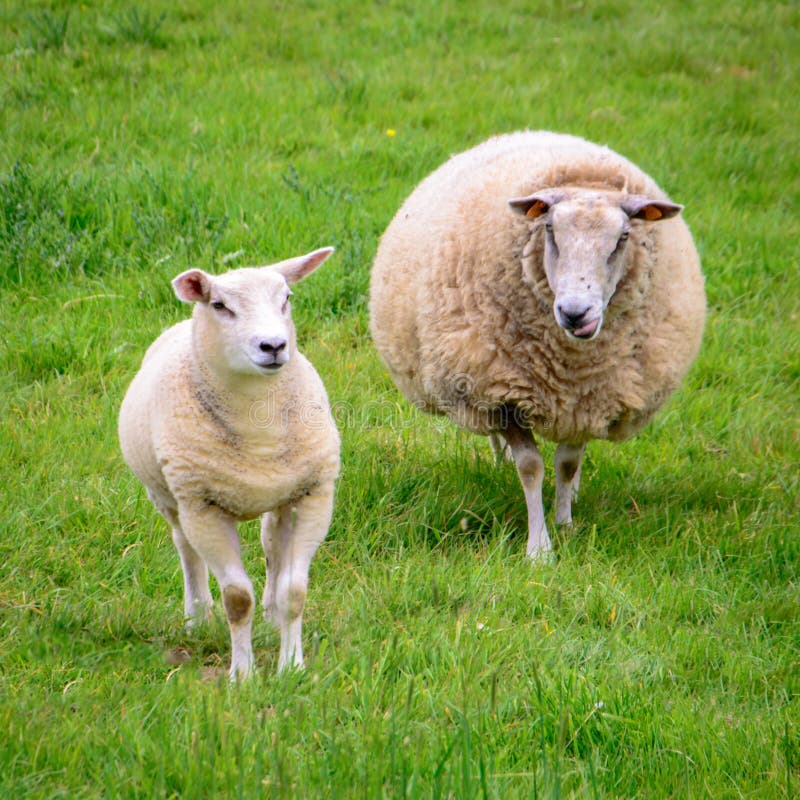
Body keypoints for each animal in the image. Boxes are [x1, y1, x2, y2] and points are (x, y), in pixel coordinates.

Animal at [119, 247, 340, 678]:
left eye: (287, 298)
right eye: (220, 305)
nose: (274, 345)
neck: (259, 426)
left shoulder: (314, 496)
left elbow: (295, 591)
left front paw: (292, 667)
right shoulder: (204, 508)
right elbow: (237, 599)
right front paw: (243, 674)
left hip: (278, 496)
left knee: (271, 543)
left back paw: (270, 615)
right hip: (169, 497)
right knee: (185, 548)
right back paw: (198, 617)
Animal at [369, 131, 705, 559]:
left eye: (623, 238)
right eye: (549, 231)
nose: (575, 313)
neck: (570, 364)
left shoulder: (591, 397)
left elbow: (567, 463)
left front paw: (564, 523)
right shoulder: (501, 393)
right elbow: (531, 467)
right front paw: (539, 548)